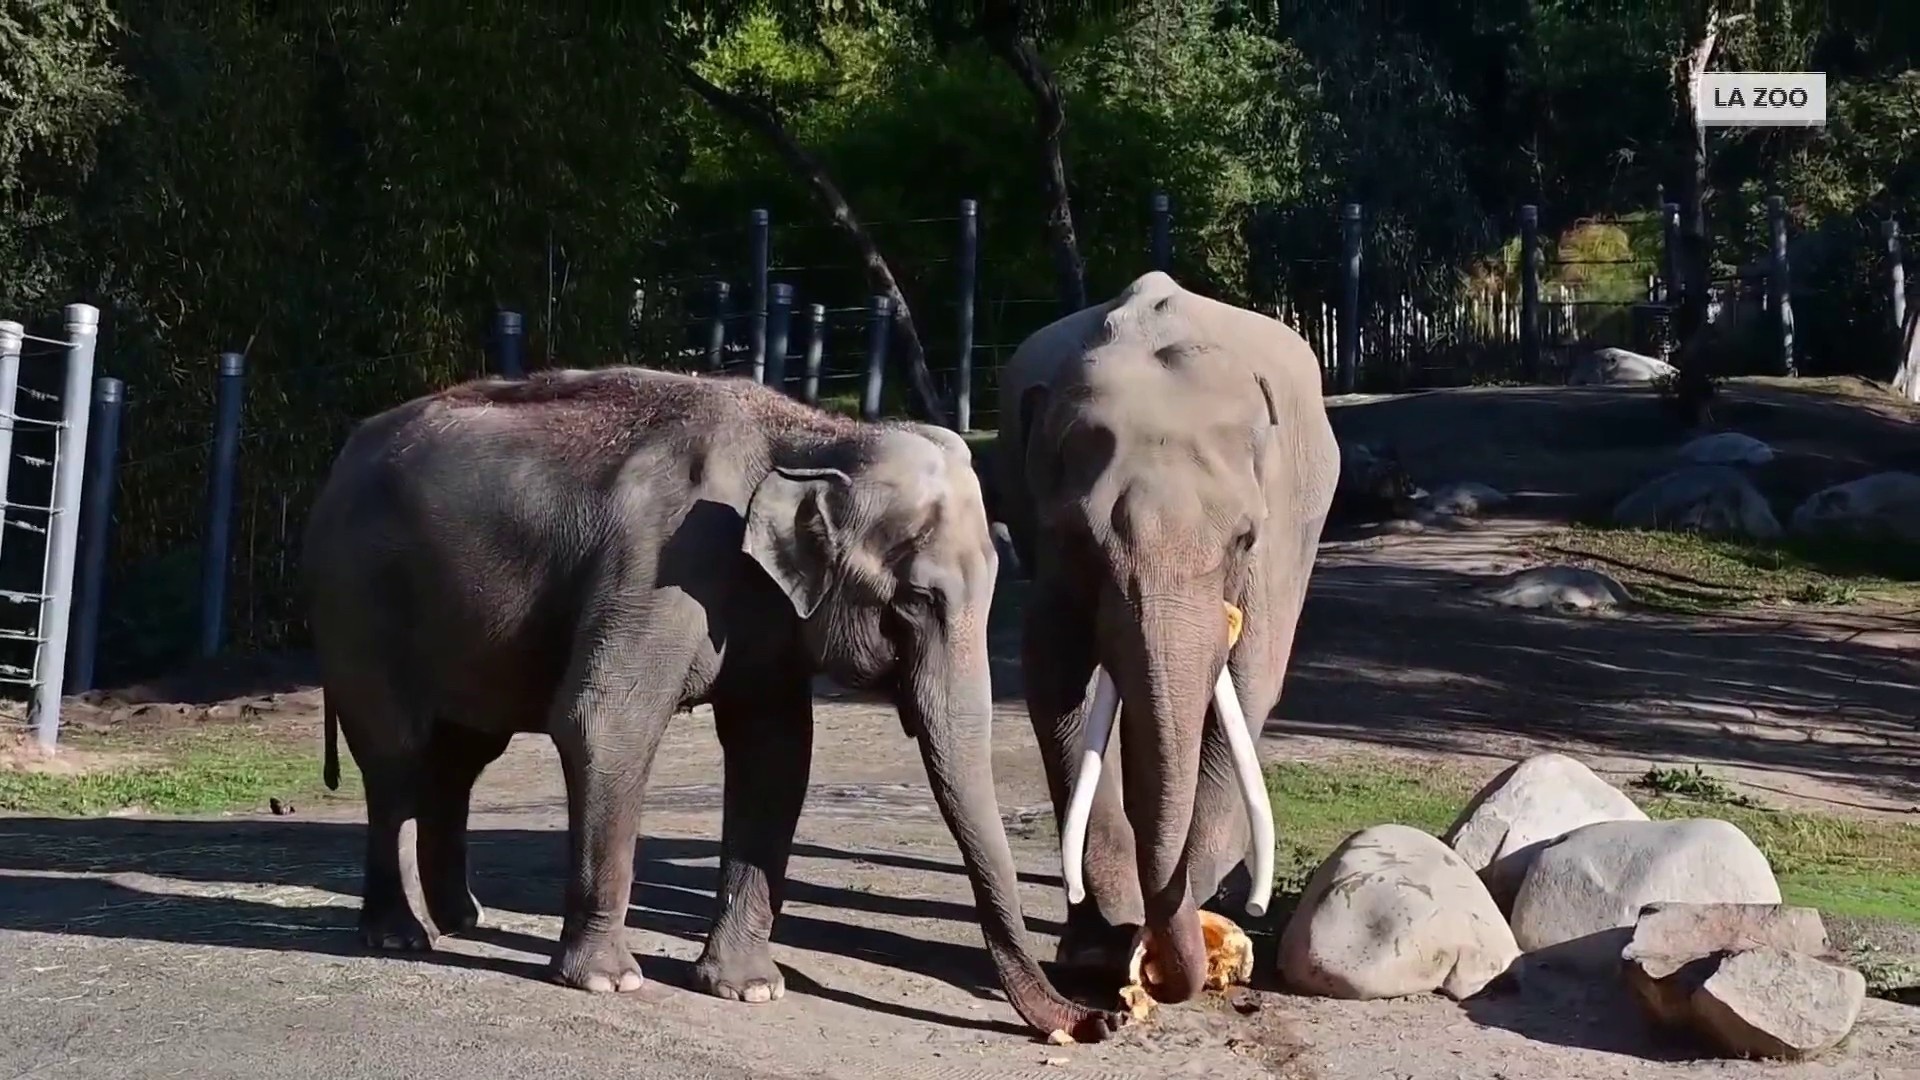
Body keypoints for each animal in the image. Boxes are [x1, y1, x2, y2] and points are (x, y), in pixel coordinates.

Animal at [303, 366, 1121, 1042]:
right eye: (916, 601)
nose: (1098, 1021)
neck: (812, 433)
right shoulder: (659, 566)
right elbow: (603, 721)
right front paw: (609, 982)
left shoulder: (765, 610)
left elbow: (777, 753)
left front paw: (750, 991)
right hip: (357, 601)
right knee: (398, 759)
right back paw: (401, 936)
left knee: (462, 757)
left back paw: (463, 920)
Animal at [994, 272, 1340, 1003]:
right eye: (1080, 540)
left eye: (1244, 538)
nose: (1154, 955)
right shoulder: (1042, 536)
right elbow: (1054, 681)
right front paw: (1099, 949)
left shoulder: (1274, 551)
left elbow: (1249, 680)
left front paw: (1195, 907)